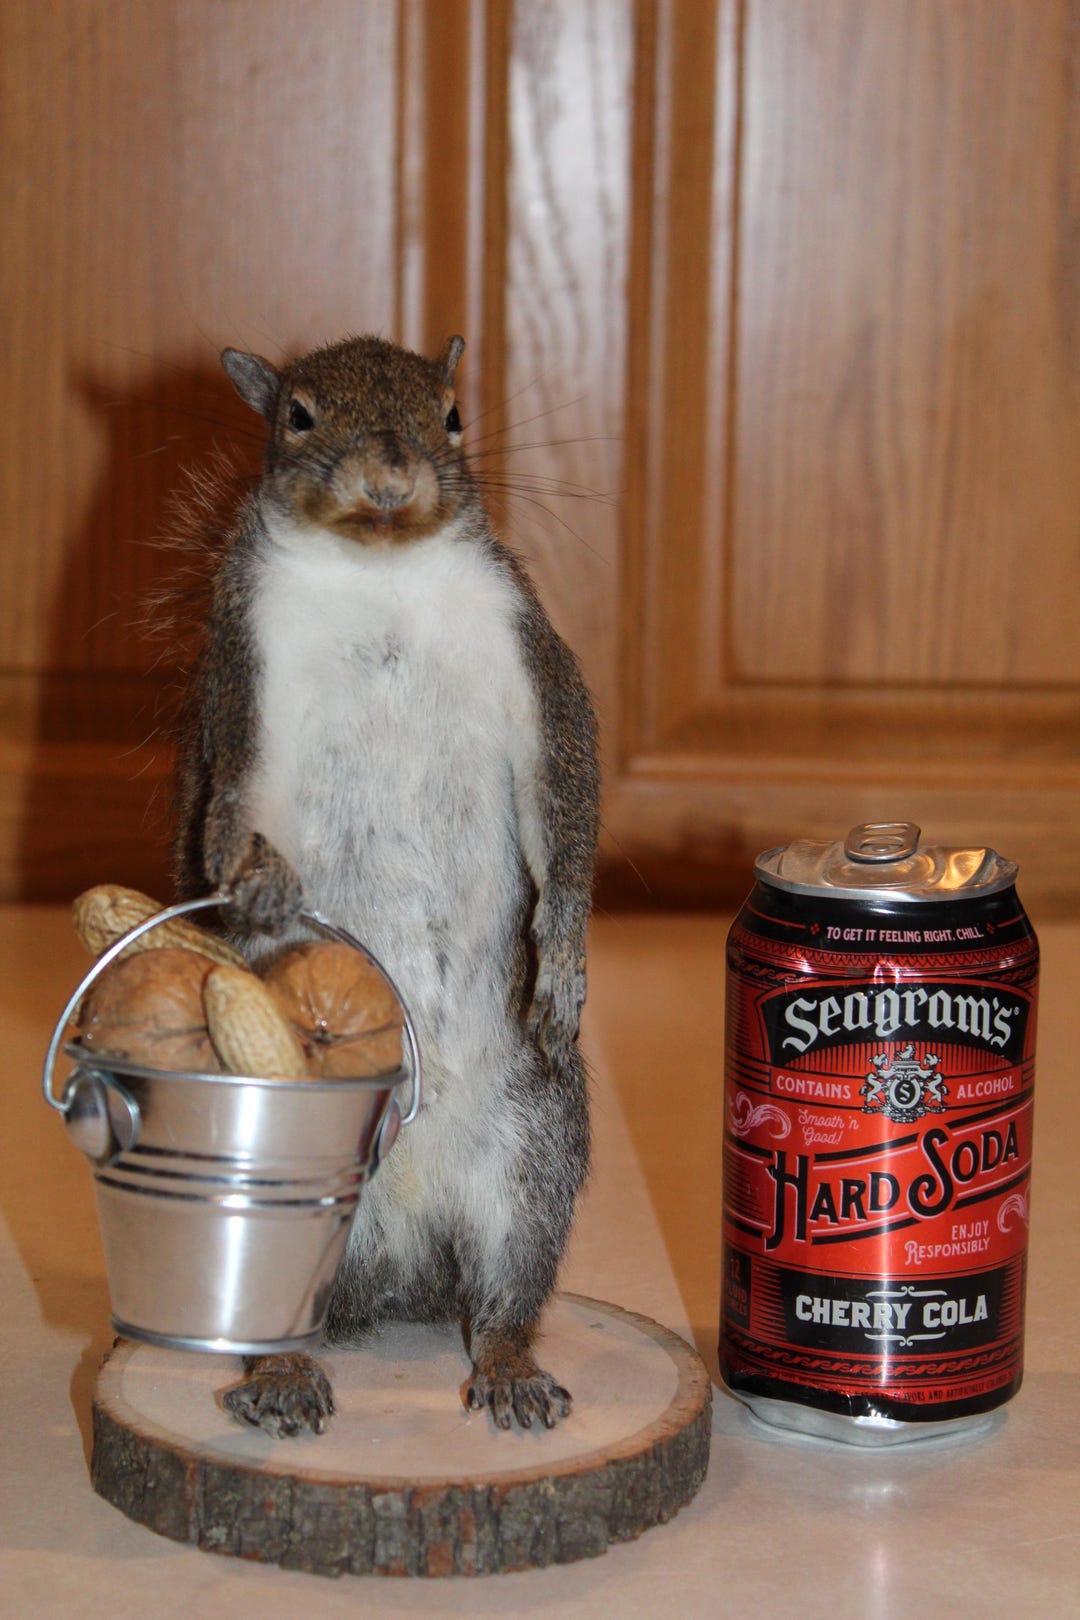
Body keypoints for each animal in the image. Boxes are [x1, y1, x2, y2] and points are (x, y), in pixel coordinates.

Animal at [173, 331, 600, 1436]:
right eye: (296, 416)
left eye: (452, 413)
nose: (392, 476)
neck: (382, 572)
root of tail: (401, 1253)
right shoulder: (245, 671)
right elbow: (235, 803)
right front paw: (258, 886)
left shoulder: (528, 647)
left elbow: (565, 791)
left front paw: (564, 960)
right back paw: (281, 1375)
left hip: (535, 1148)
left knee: (509, 1287)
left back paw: (509, 1368)